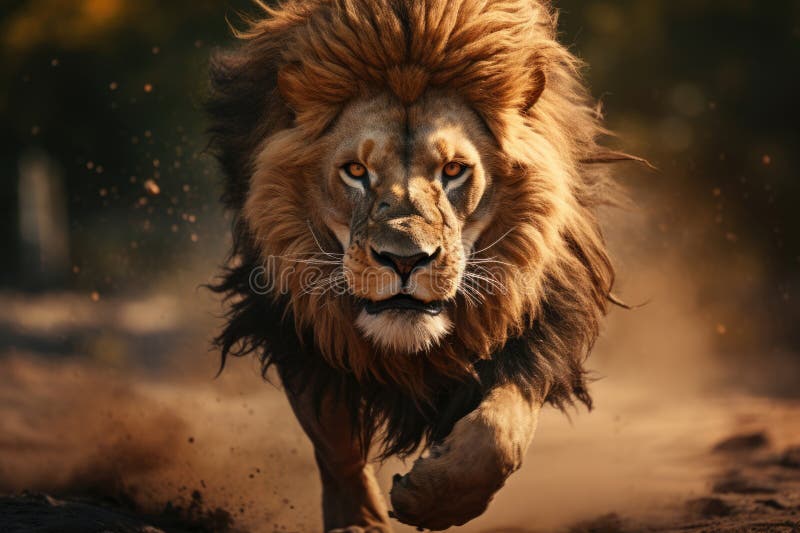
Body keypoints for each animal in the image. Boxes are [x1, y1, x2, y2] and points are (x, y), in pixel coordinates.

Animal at [208, 0, 637, 530]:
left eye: (453, 170)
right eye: (355, 171)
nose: (405, 259)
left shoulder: (539, 330)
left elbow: (498, 434)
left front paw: (434, 499)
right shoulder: (298, 328)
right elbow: (337, 443)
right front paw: (360, 521)